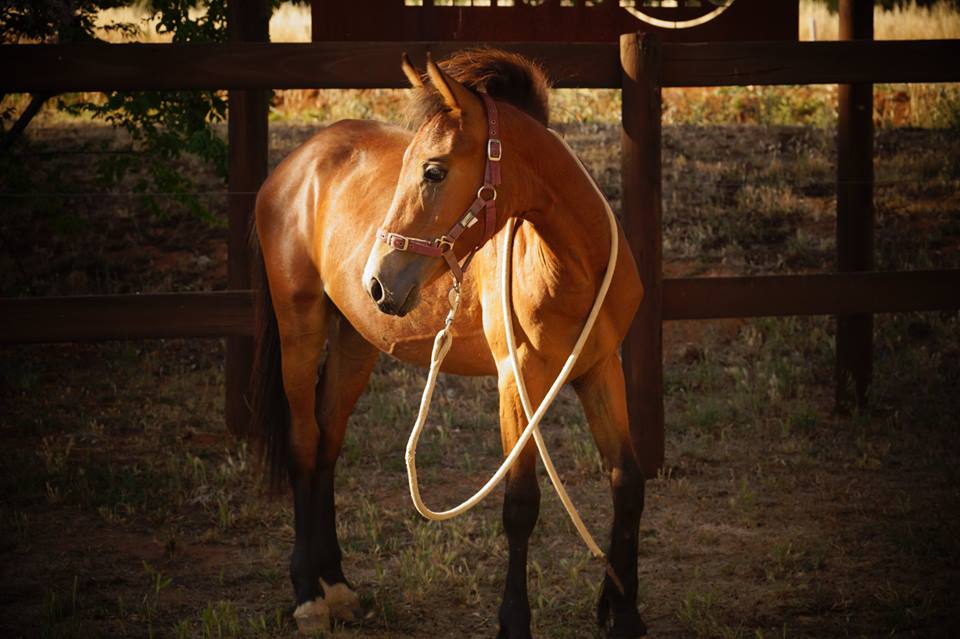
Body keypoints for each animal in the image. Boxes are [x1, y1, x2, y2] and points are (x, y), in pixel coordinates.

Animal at [250, 49, 647, 638]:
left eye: (433, 170)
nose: (378, 281)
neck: (573, 265)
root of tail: (294, 165)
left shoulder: (601, 368)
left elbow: (626, 483)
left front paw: (623, 613)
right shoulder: (516, 380)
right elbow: (520, 505)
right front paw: (514, 622)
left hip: (355, 342)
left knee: (327, 443)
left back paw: (338, 584)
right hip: (299, 326)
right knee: (304, 441)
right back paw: (308, 594)